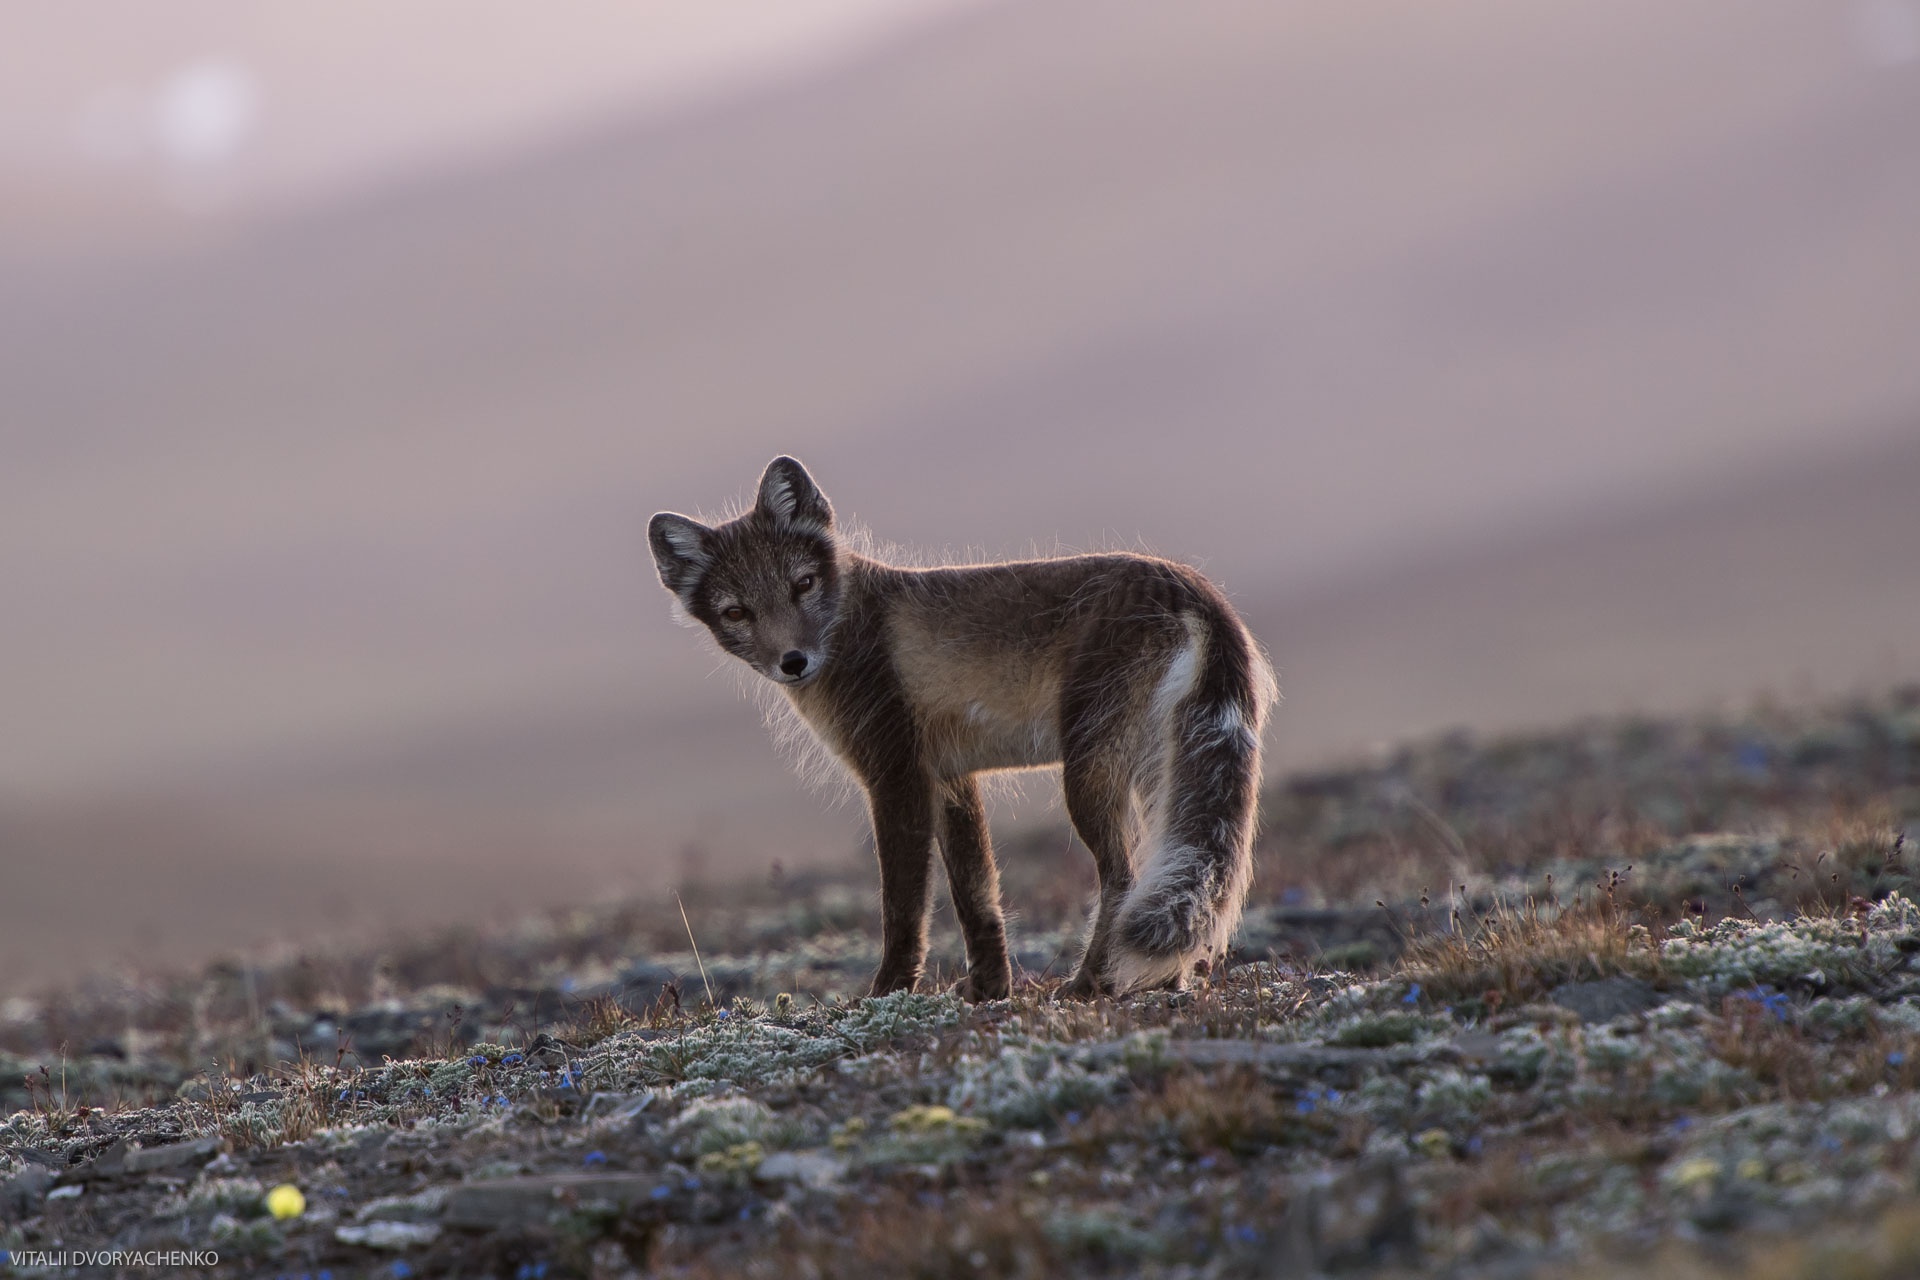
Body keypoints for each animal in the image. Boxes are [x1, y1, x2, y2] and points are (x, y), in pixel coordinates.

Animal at [647, 457, 1276, 1000]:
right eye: (737, 613)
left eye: (802, 584)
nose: (793, 662)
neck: (852, 625)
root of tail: (1188, 584)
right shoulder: (950, 779)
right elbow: (978, 900)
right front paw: (989, 990)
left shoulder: (896, 778)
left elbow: (902, 907)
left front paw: (886, 994)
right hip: (1156, 778)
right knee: (1168, 871)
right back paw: (1168, 980)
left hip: (1088, 778)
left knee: (1122, 879)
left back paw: (1090, 985)